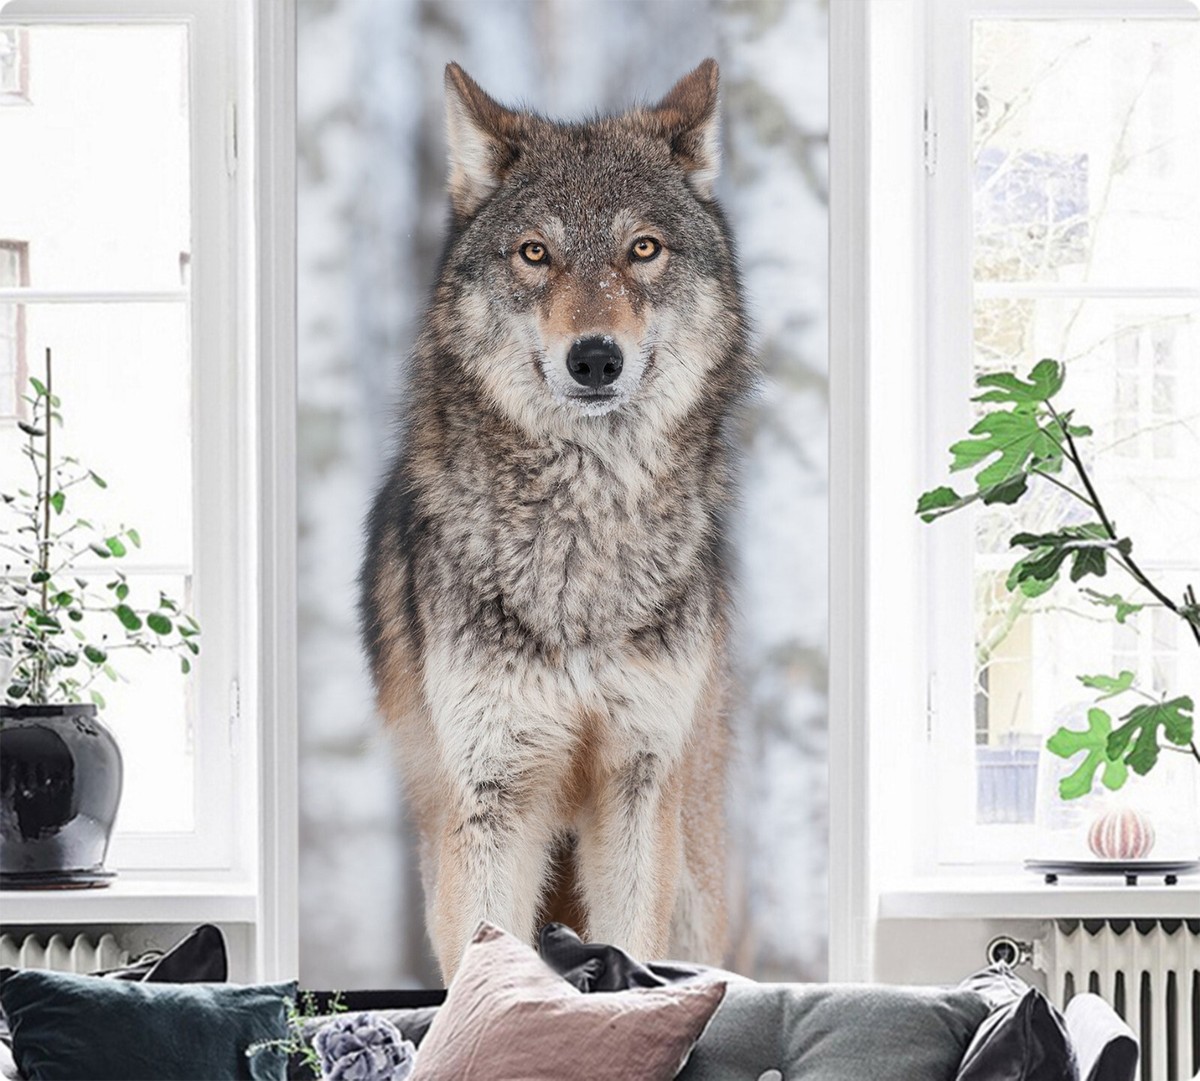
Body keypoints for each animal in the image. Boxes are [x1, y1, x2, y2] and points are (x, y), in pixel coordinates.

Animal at [359, 58, 753, 980]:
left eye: (643, 248)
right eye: (535, 252)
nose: (596, 358)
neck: (584, 535)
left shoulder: (637, 787)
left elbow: (632, 948)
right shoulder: (491, 796)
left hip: (692, 874)